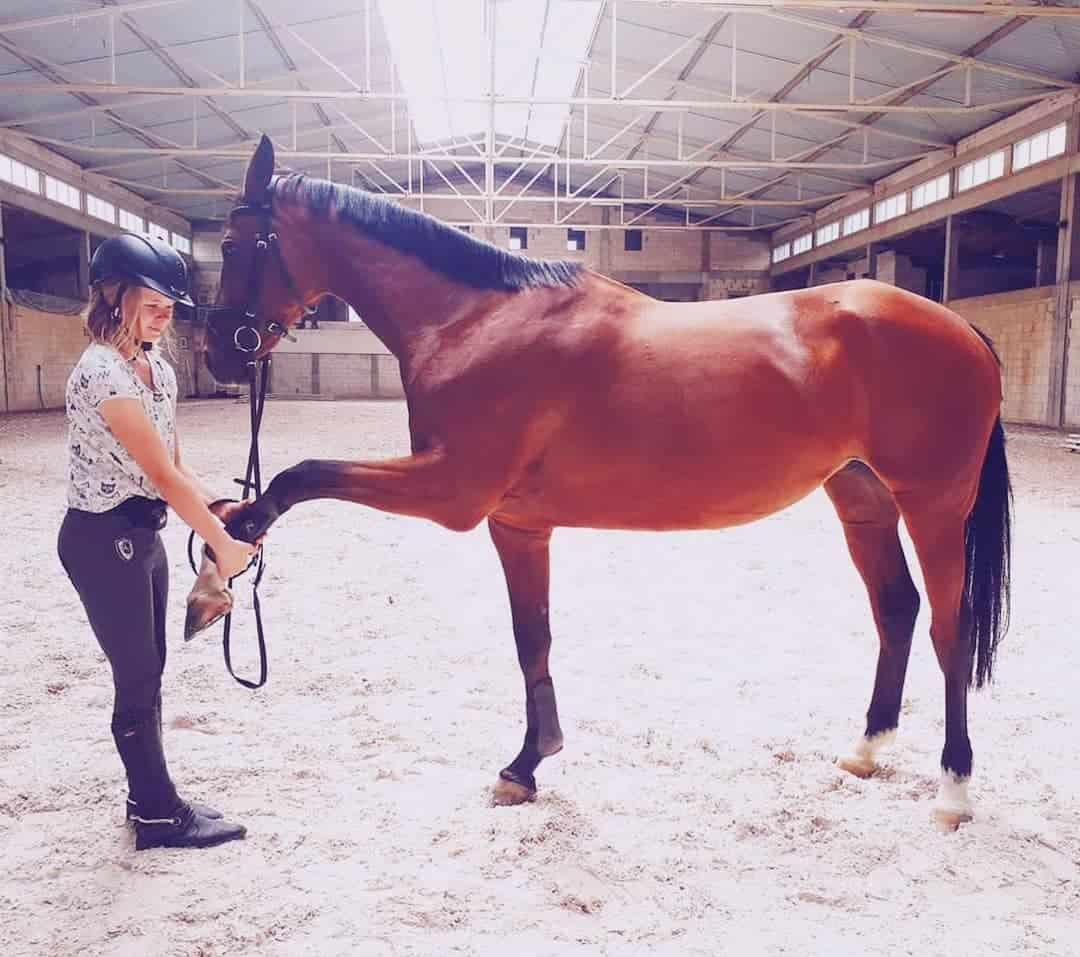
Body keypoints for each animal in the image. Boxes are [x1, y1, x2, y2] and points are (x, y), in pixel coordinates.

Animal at [200, 134, 1011, 831]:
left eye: (236, 246)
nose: (218, 353)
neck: (475, 322)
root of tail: (962, 329)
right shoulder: (516, 521)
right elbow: (532, 637)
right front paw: (527, 765)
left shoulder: (451, 492)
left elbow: (300, 474)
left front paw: (220, 562)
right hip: (862, 501)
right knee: (896, 610)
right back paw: (866, 749)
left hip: (933, 504)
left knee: (949, 627)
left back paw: (953, 789)